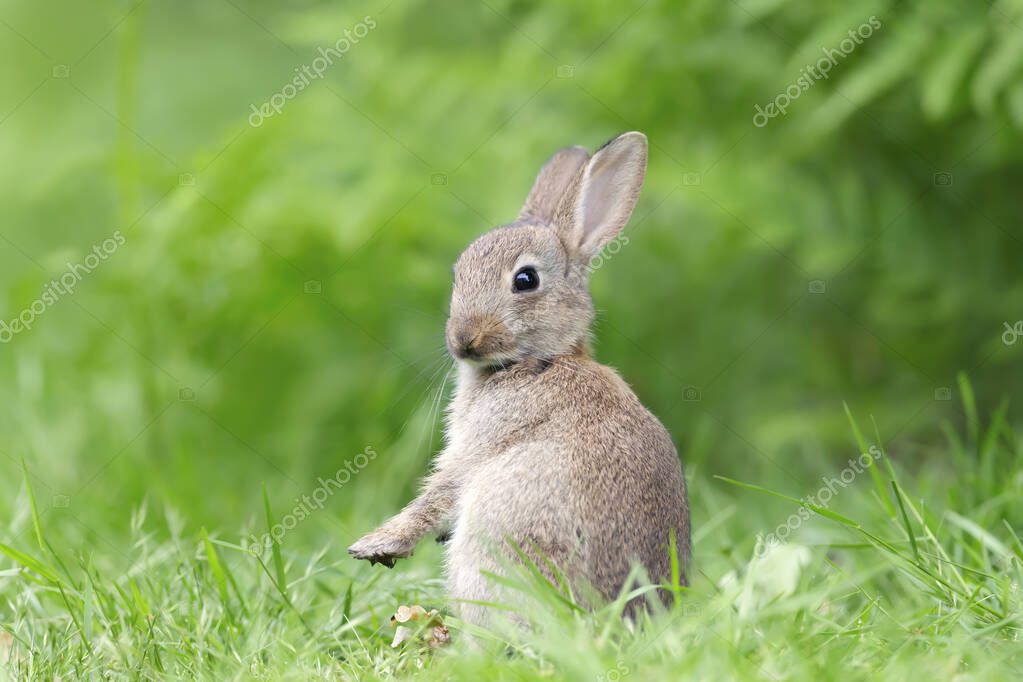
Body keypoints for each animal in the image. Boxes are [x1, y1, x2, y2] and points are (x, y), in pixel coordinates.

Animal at [348, 132, 690, 627]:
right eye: (458, 274)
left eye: (525, 280)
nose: (463, 339)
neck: (536, 359)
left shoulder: (482, 441)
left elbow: (439, 494)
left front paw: (376, 545)